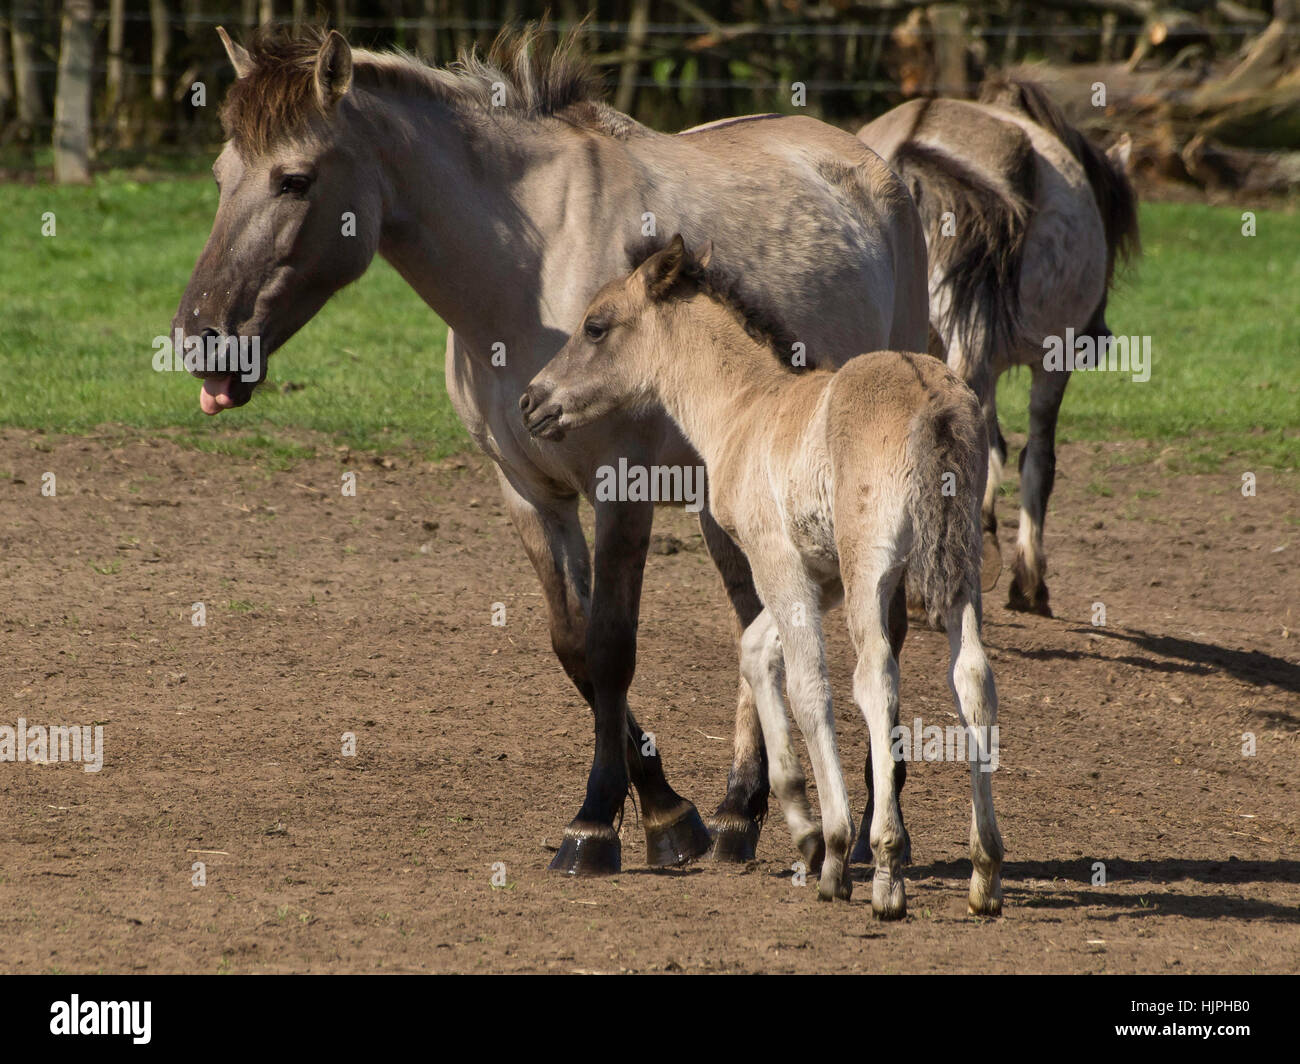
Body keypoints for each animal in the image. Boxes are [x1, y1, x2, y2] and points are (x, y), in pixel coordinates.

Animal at [171, 23, 930, 876]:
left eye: (295, 180)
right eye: (221, 175)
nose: (199, 339)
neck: (528, 274)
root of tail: (870, 165)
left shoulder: (621, 491)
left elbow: (611, 648)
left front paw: (600, 824)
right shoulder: (528, 492)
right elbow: (574, 649)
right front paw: (670, 815)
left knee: (881, 629)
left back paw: (870, 825)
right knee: (758, 626)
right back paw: (741, 813)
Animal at [522, 234, 1004, 919]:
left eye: (595, 326)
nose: (531, 401)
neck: (745, 409)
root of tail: (932, 401)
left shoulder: (779, 562)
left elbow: (808, 685)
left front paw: (831, 852)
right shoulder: (817, 577)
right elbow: (755, 650)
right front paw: (795, 826)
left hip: (871, 569)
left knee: (875, 679)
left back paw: (885, 870)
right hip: (959, 569)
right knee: (973, 679)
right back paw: (984, 873)